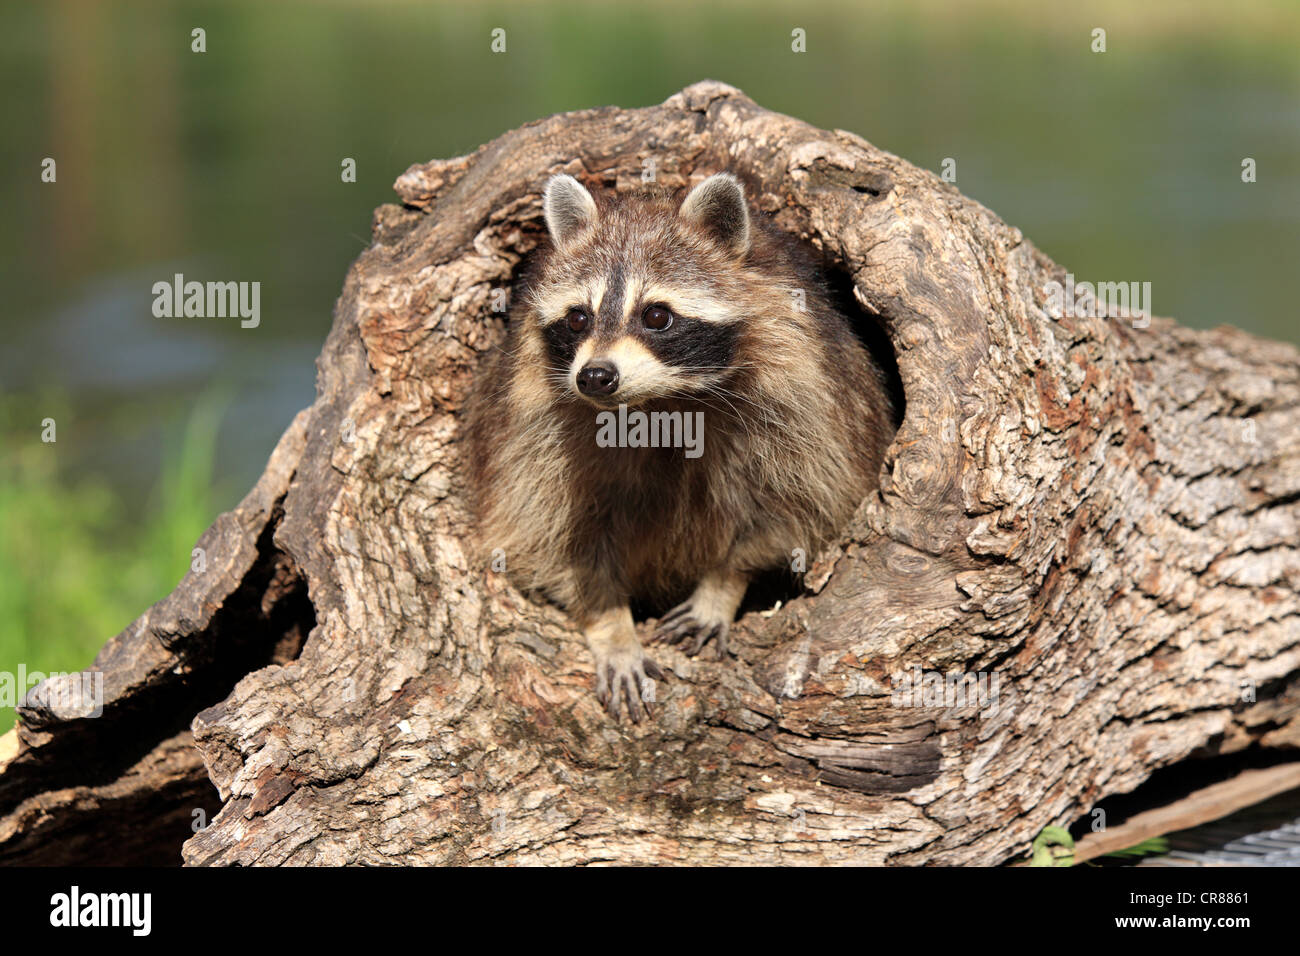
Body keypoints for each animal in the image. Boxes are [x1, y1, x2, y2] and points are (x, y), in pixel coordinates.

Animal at [466, 172, 894, 720]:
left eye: (656, 316)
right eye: (578, 318)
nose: (595, 377)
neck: (658, 404)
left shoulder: (807, 391)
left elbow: (799, 504)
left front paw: (724, 583)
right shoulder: (531, 431)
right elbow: (544, 532)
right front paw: (611, 624)